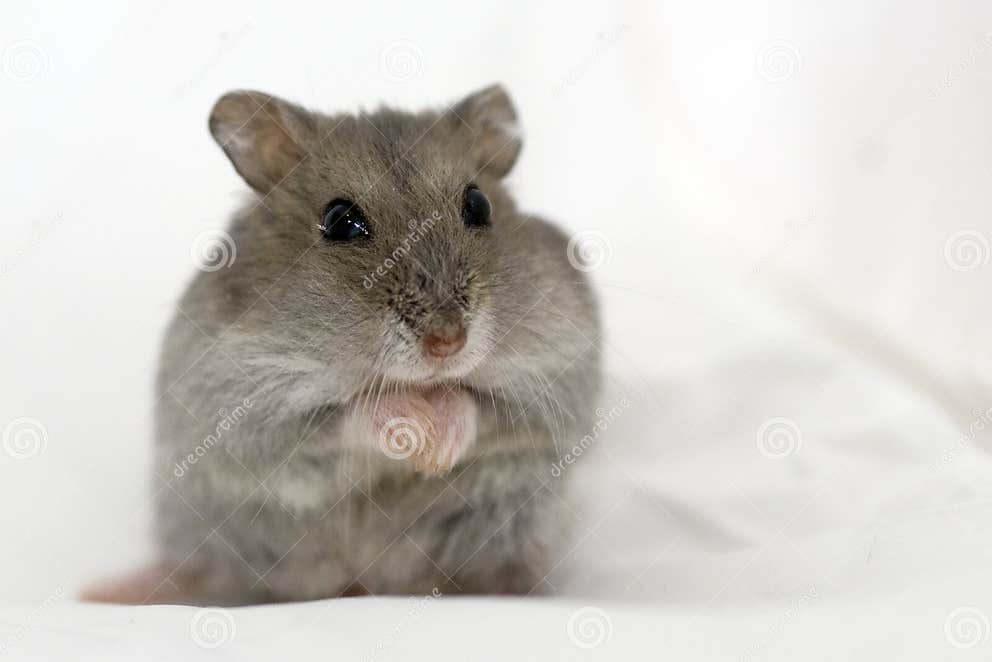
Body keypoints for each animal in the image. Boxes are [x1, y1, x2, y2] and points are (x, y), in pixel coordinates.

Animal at [145, 84, 601, 604]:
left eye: (479, 205)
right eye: (340, 220)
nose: (447, 342)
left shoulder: (562, 368)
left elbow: (482, 404)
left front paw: (435, 452)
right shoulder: (237, 405)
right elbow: (351, 411)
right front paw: (419, 434)